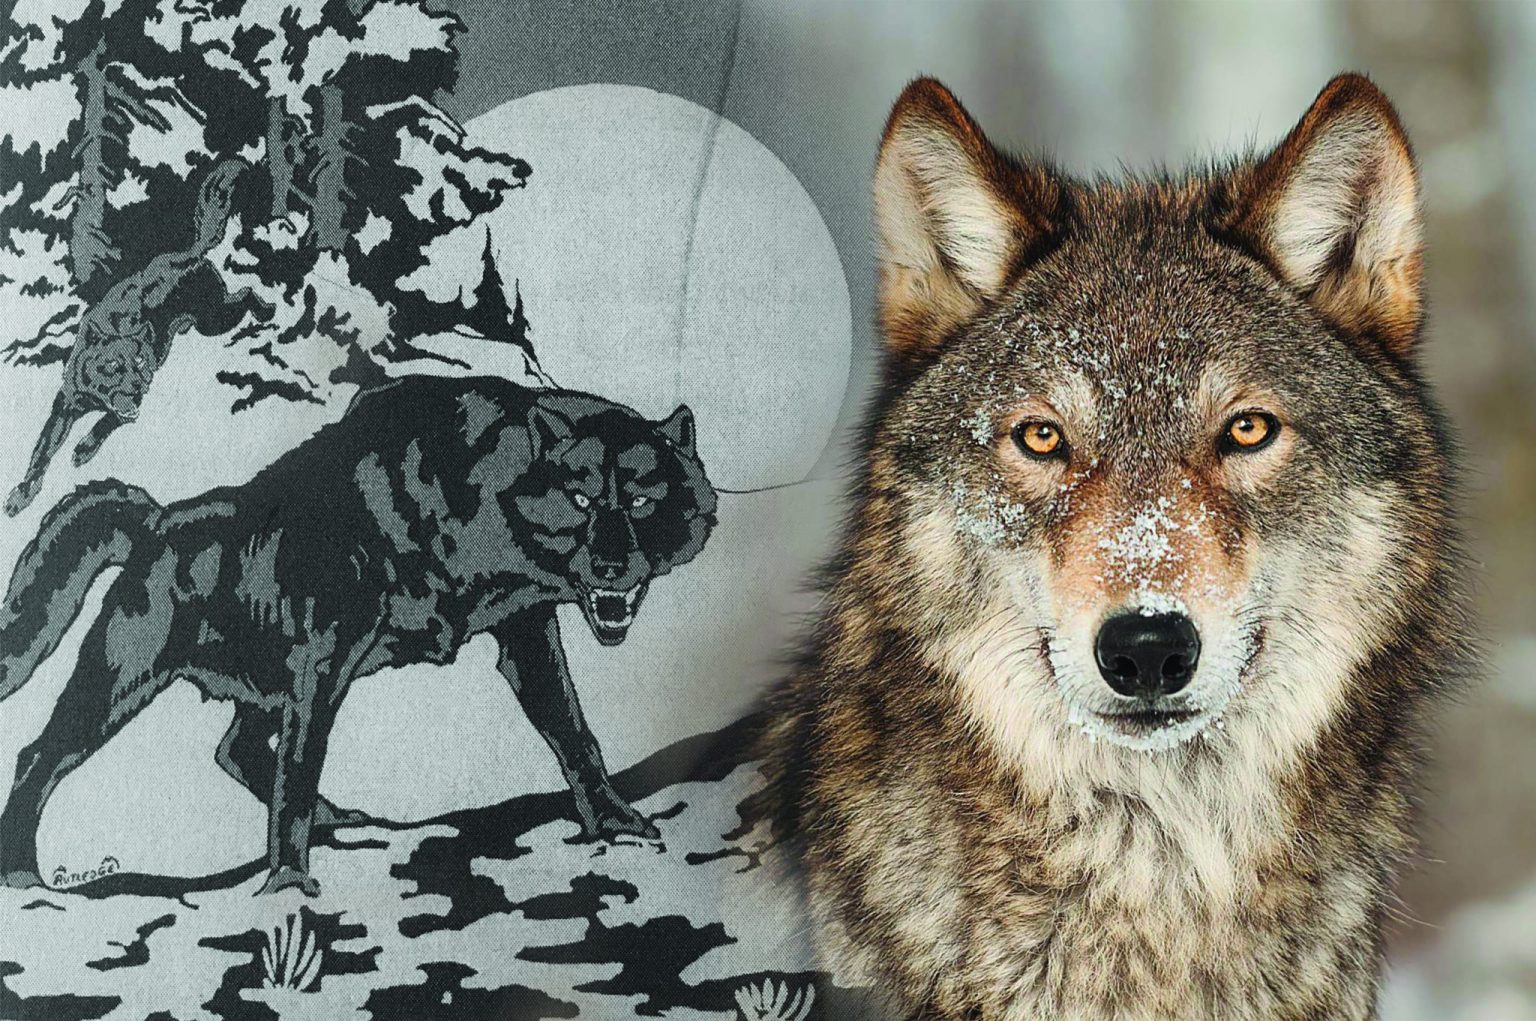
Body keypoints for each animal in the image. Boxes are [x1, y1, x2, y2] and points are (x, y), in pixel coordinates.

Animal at [0, 375, 715, 895]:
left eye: (644, 501)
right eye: (581, 500)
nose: (612, 568)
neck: (472, 495)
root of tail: (153, 520)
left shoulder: (527, 630)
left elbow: (572, 730)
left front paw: (616, 823)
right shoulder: (322, 664)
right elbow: (296, 772)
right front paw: (288, 886)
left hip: (261, 684)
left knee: (234, 748)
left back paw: (337, 816)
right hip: (120, 683)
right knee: (37, 757)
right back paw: (21, 878)